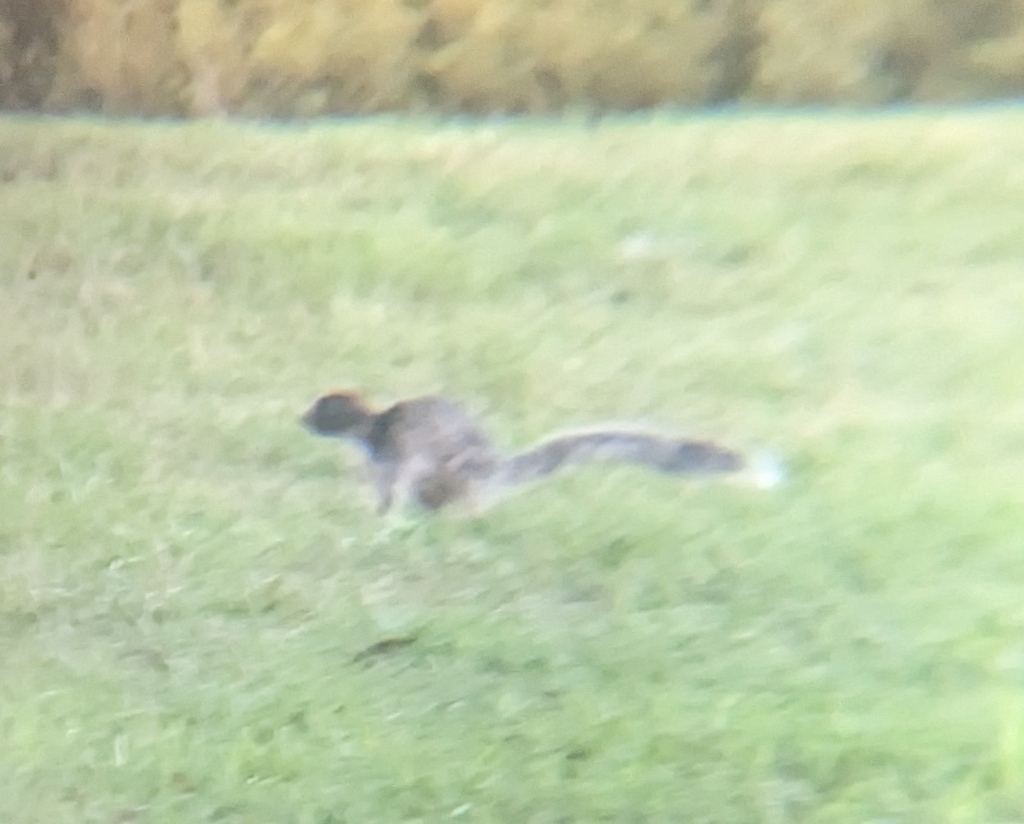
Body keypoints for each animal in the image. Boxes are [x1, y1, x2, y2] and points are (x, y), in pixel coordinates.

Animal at [301, 391, 784, 514]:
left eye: (322, 409)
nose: (300, 418)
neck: (373, 427)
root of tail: (495, 474)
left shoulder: (399, 454)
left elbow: (393, 486)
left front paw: (381, 517)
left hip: (454, 474)